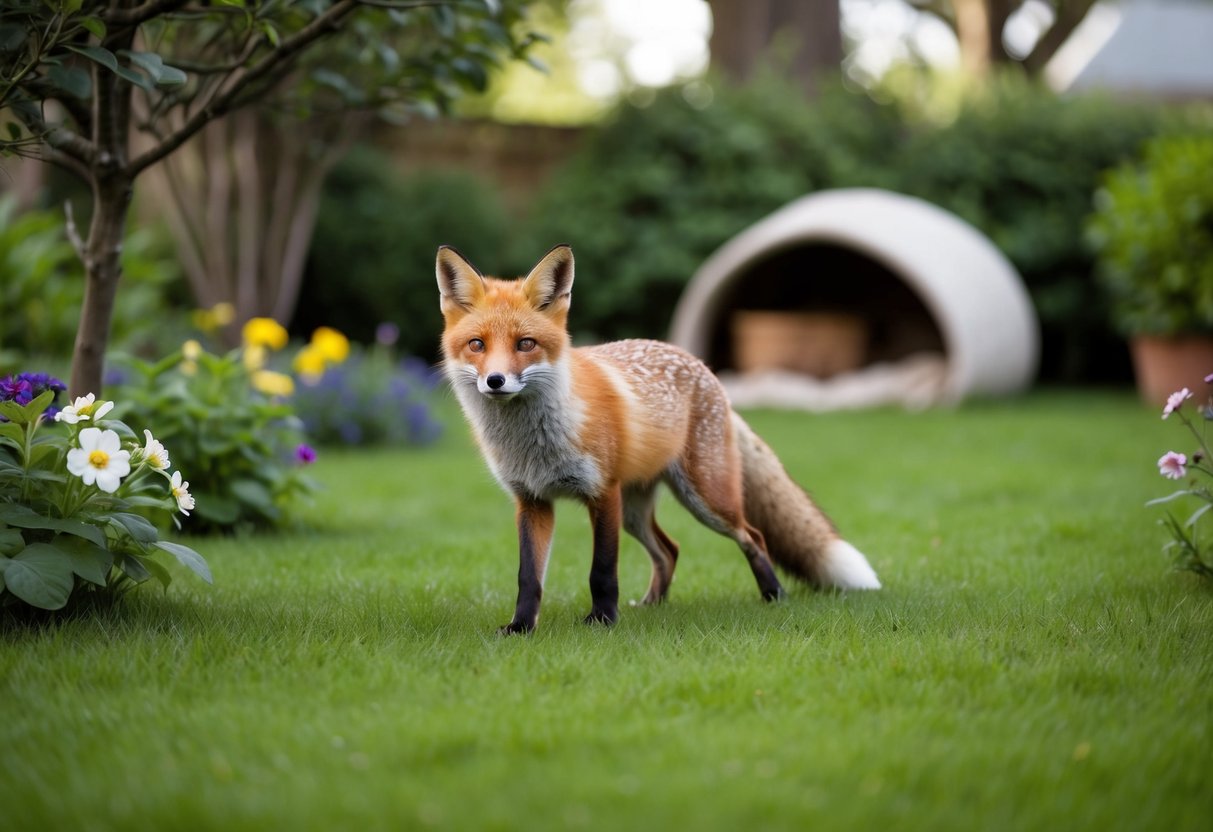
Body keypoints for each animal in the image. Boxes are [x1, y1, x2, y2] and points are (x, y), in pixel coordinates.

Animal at [436, 243, 880, 634]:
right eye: (477, 345)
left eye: (525, 344)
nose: (495, 381)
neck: (533, 443)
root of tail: (703, 367)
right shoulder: (532, 501)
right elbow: (529, 577)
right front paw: (521, 628)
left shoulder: (603, 493)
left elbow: (602, 571)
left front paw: (603, 621)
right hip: (636, 511)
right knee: (670, 550)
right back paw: (653, 604)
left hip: (705, 499)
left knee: (752, 536)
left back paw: (774, 595)